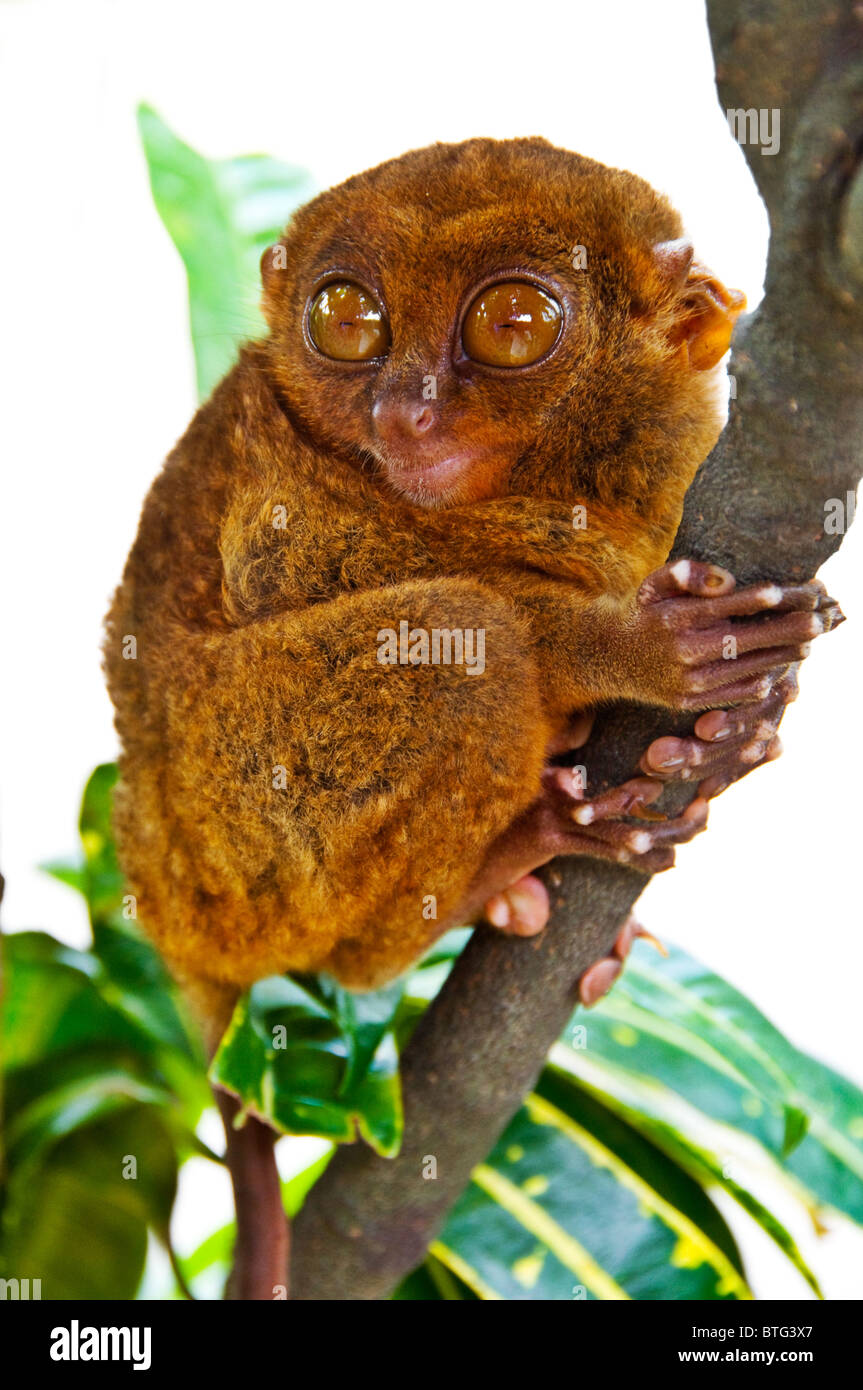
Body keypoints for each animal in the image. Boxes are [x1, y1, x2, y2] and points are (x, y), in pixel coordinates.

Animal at [106, 136, 843, 1047]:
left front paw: (741, 736)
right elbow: (305, 570)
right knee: (461, 642)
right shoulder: (268, 469)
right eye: (346, 322)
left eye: (511, 326)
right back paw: (504, 863)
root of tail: (171, 940)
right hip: (232, 847)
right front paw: (642, 652)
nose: (401, 411)